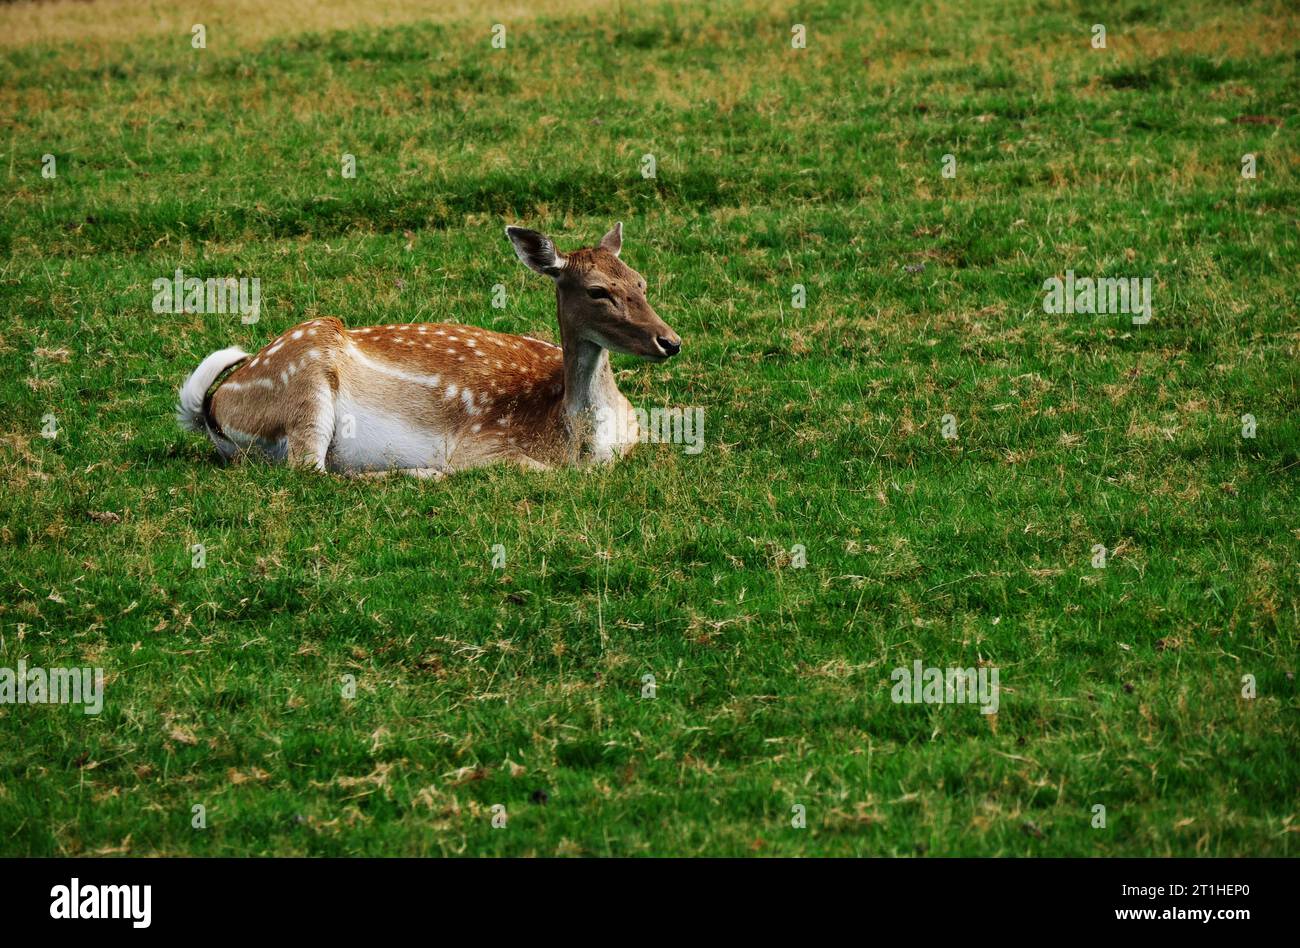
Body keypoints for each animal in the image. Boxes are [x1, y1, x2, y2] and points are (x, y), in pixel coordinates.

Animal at [175, 223, 681, 476]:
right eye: (598, 291)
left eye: (640, 281)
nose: (670, 341)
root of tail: (211, 408)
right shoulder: (483, 444)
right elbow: (538, 470)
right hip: (304, 381)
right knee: (308, 470)